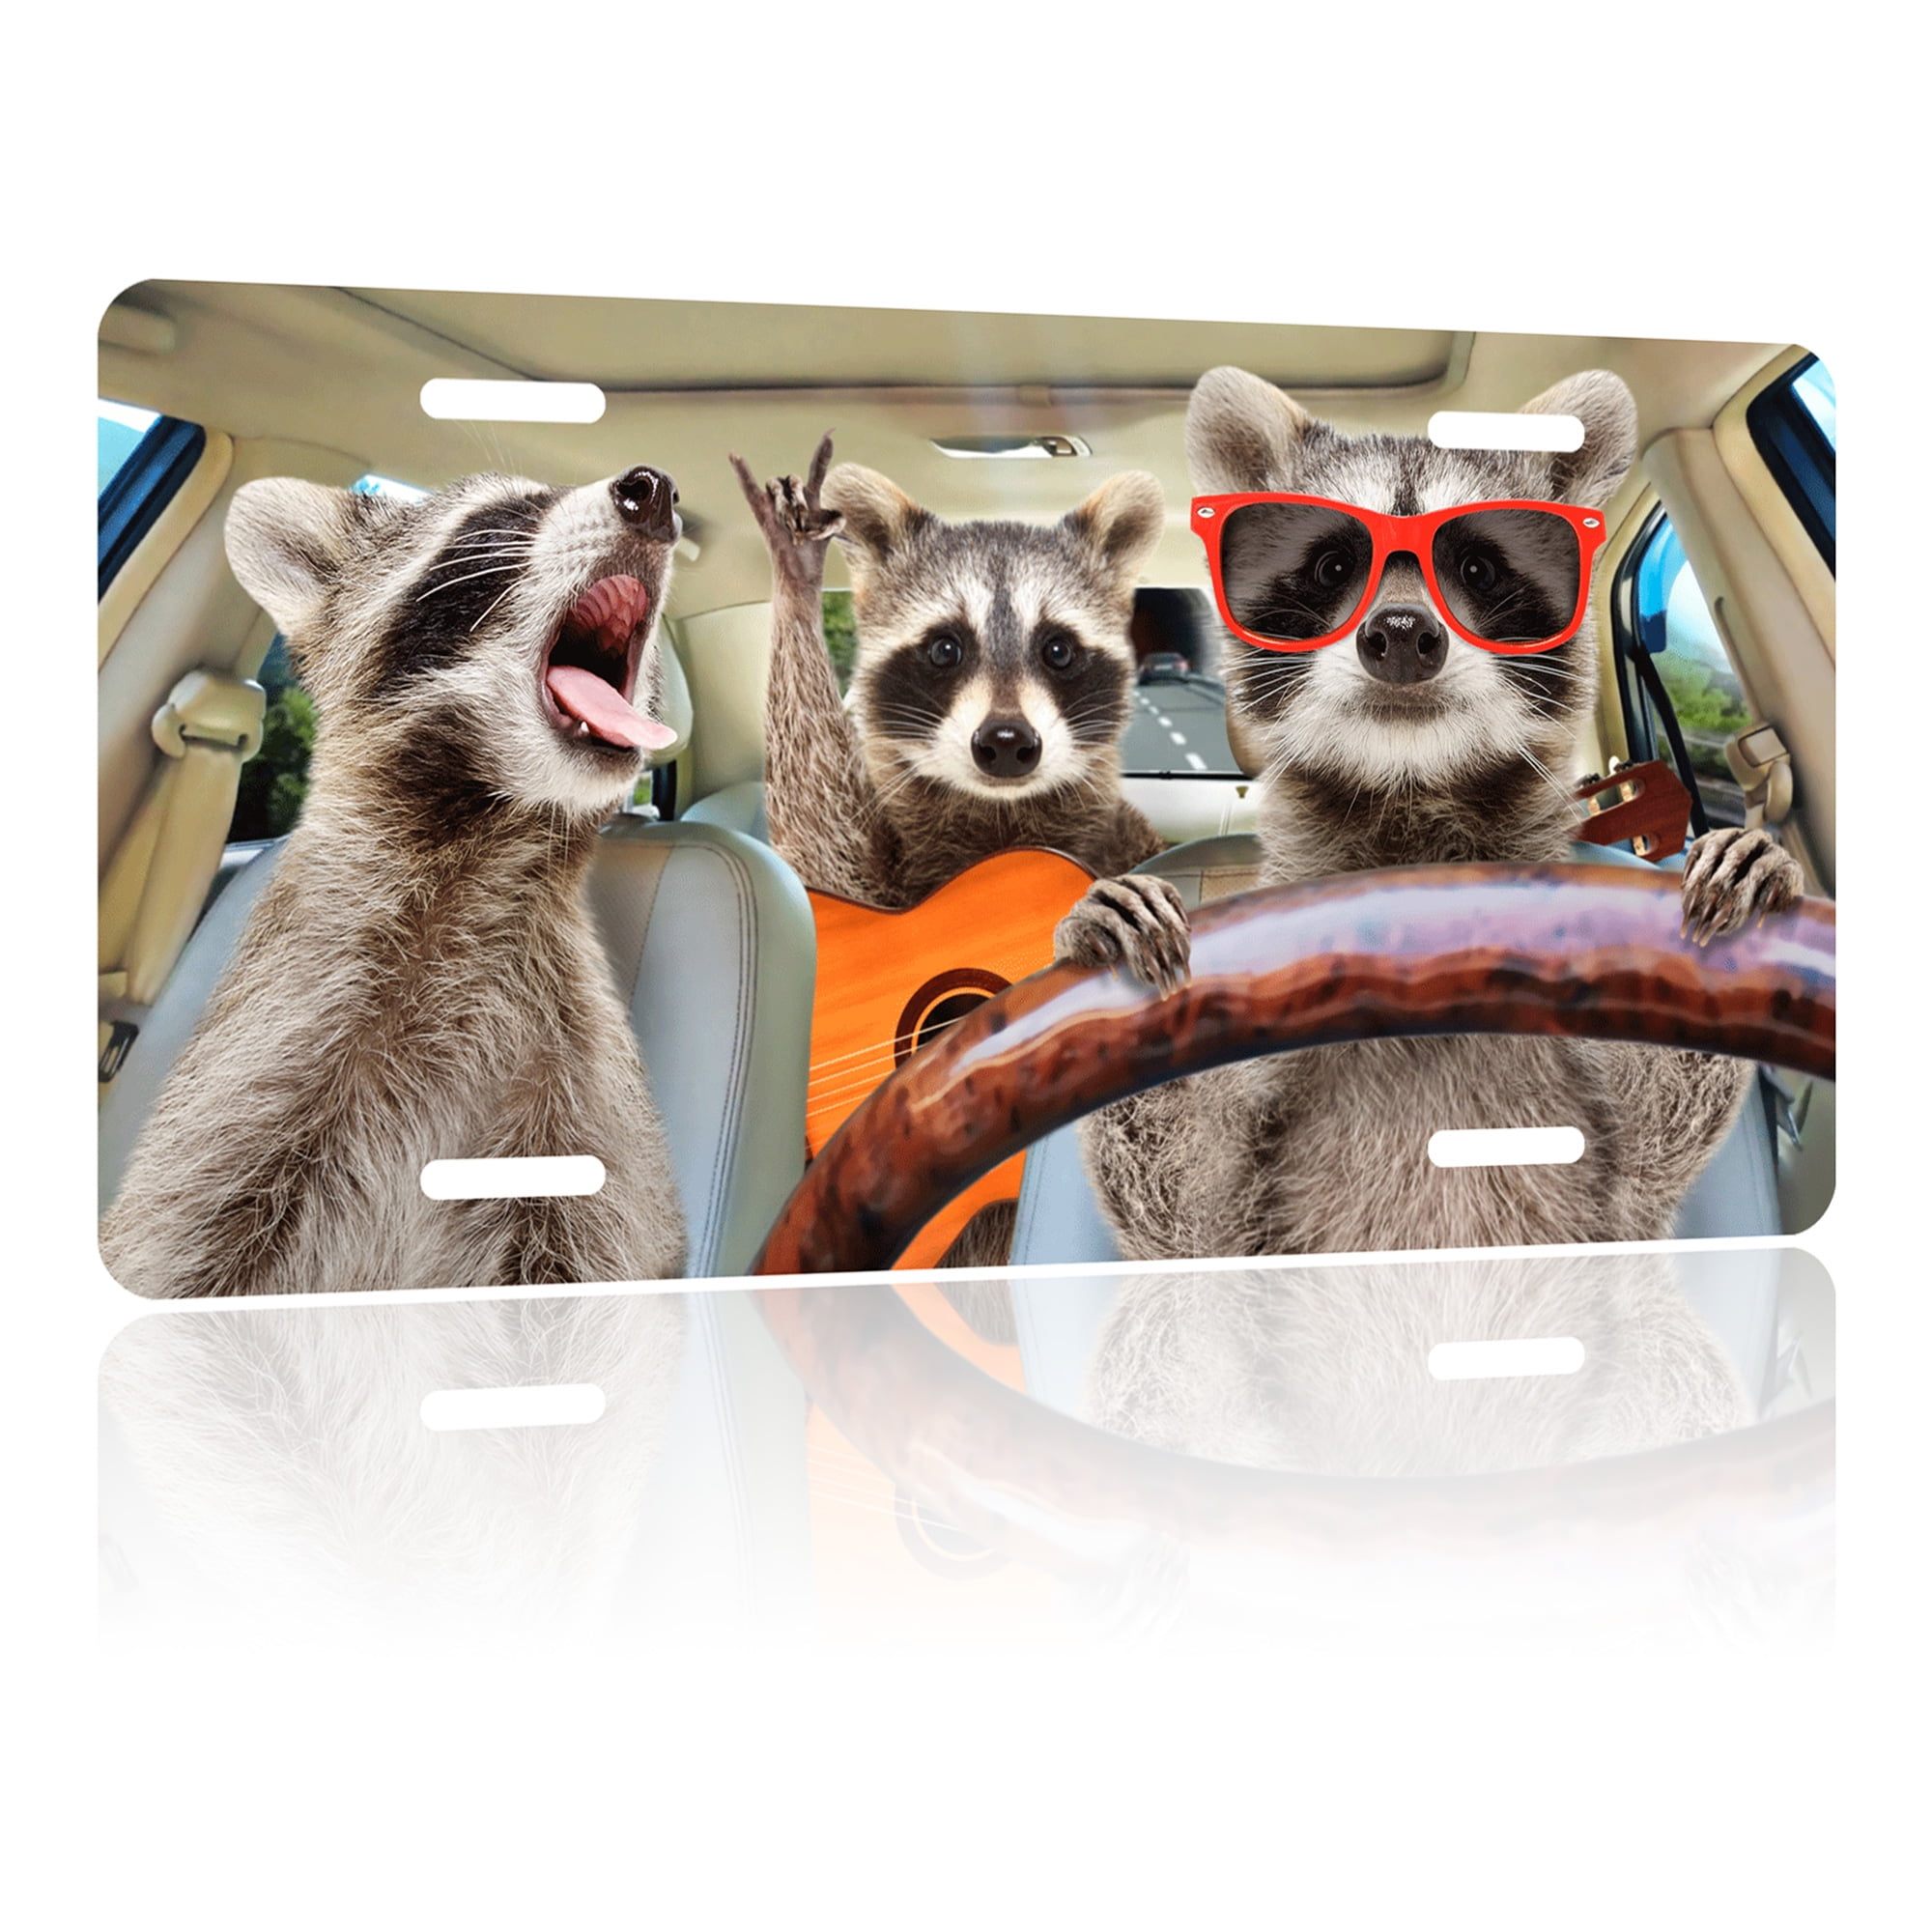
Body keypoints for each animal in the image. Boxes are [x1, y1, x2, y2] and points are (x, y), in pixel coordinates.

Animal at [101, 465, 690, 1296]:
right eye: (506, 515)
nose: (654, 489)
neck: (485, 831)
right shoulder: (266, 1056)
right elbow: (171, 1246)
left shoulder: (578, 1088)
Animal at [731, 433, 1169, 1278]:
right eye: (944, 648)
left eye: (1057, 649)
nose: (1005, 742)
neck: (1001, 814)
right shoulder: (875, 855)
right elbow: (822, 850)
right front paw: (796, 582)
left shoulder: (1132, 840)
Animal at [1054, 367, 1806, 1259]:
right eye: (1333, 564)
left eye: (1478, 568)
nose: (1404, 634)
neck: (1412, 797)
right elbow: (1187, 1203)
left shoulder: (1617, 1177)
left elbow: (1654, 1137)